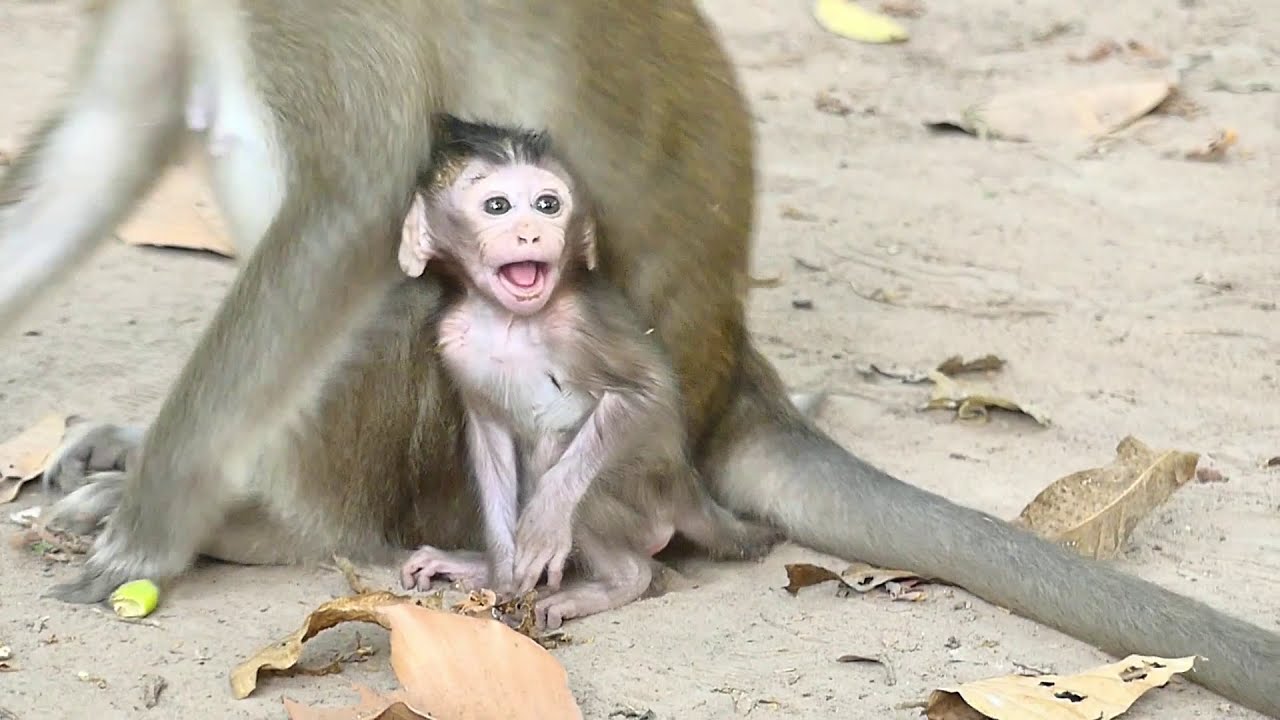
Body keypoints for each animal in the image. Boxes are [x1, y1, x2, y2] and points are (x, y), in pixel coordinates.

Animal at [1, 1, 1275, 715]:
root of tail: (730, 379)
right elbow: (100, 151)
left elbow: (357, 200)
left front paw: (156, 526)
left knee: (412, 273)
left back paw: (266, 521)